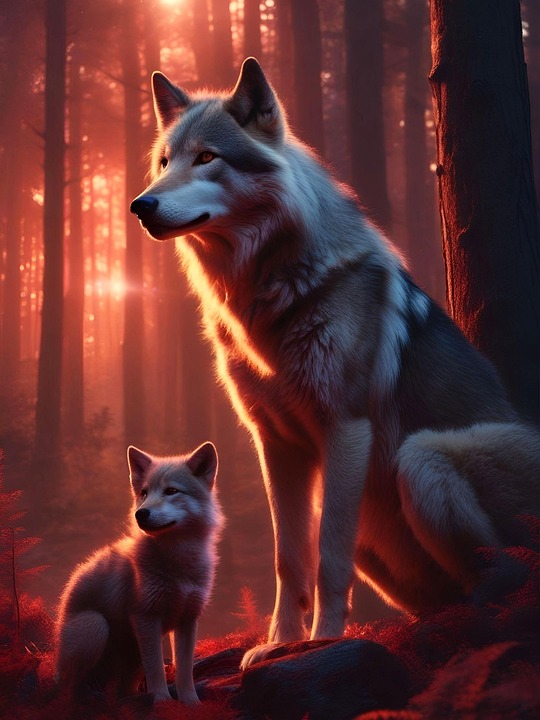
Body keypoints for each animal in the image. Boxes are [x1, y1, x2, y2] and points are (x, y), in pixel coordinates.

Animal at [56, 442, 223, 702]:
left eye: (171, 491)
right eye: (144, 493)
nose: (141, 514)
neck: (177, 565)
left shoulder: (187, 620)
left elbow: (185, 671)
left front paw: (190, 702)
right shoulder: (146, 619)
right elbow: (156, 670)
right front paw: (162, 701)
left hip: (131, 657)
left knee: (123, 690)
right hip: (96, 625)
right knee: (70, 687)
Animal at [131, 58, 540, 667]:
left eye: (207, 157)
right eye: (164, 162)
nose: (141, 205)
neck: (269, 290)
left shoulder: (345, 428)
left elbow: (327, 554)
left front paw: (322, 641)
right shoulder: (276, 443)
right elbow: (289, 557)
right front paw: (279, 644)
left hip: (417, 459)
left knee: (505, 573)